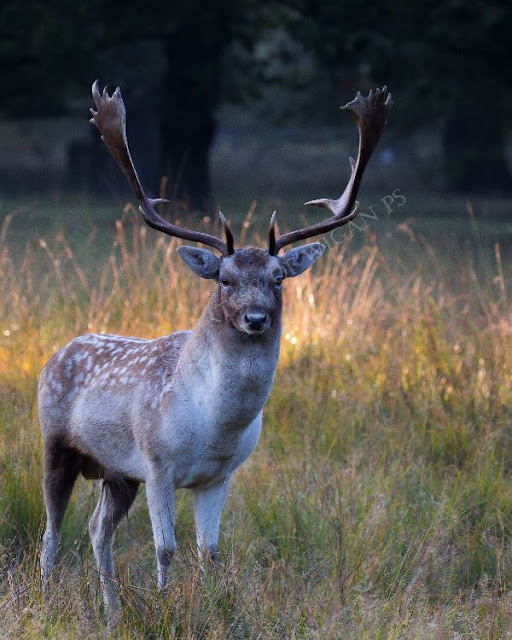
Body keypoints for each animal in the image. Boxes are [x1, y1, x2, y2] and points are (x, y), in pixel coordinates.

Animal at [39, 80, 392, 611]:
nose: (256, 318)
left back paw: (113, 613)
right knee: (52, 533)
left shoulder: (219, 475)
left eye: (278, 278)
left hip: (117, 472)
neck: (214, 427)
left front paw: (209, 607)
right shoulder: (157, 462)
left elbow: (210, 552)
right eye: (225, 279)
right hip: (55, 442)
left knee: (98, 529)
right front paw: (165, 609)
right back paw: (44, 597)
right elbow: (165, 548)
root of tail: (56, 353)